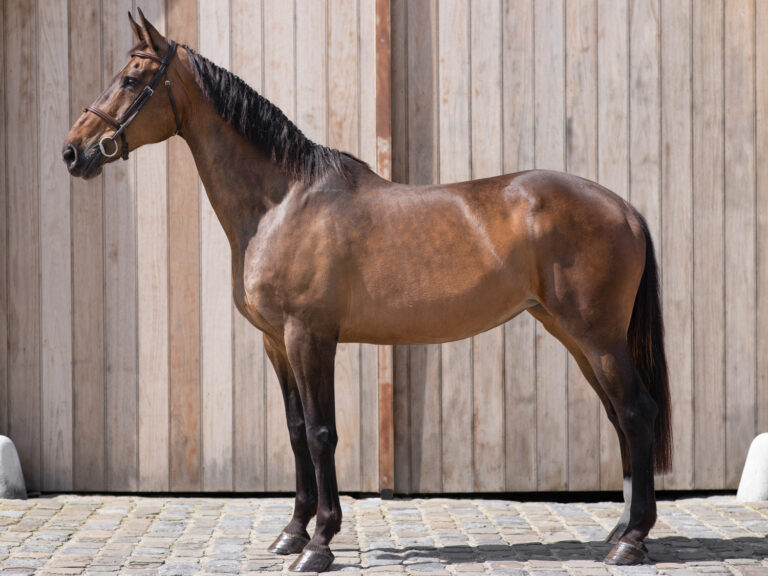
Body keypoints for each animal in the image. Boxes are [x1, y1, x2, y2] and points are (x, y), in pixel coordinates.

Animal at [63, 9, 671, 572]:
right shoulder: (276, 342)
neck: (281, 203)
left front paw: (320, 543)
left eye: (133, 79)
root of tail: (625, 207)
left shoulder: (310, 337)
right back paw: (619, 531)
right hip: (573, 334)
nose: (73, 152)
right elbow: (294, 431)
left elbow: (320, 433)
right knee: (620, 417)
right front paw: (291, 533)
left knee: (636, 412)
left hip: (596, 337)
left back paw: (633, 541)